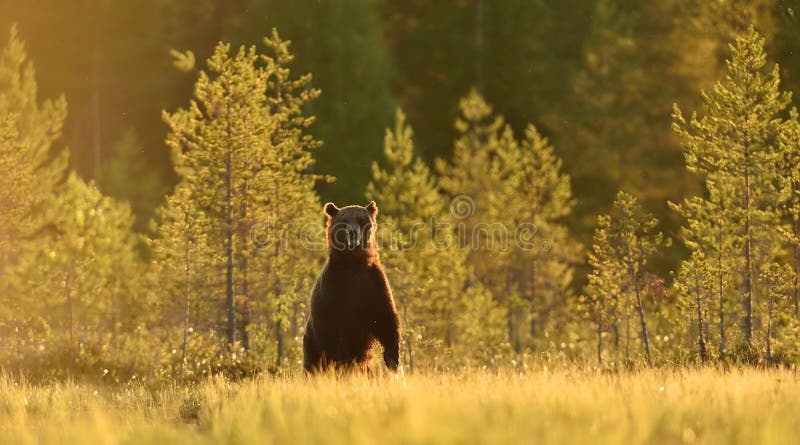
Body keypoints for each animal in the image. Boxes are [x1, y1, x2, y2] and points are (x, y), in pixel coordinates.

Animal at [302, 201, 401, 373]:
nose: (353, 233)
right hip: (311, 343)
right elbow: (332, 332)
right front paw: (344, 363)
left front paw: (392, 359)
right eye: (344, 221)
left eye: (362, 220)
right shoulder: (332, 289)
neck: (353, 264)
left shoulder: (373, 283)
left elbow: (386, 317)